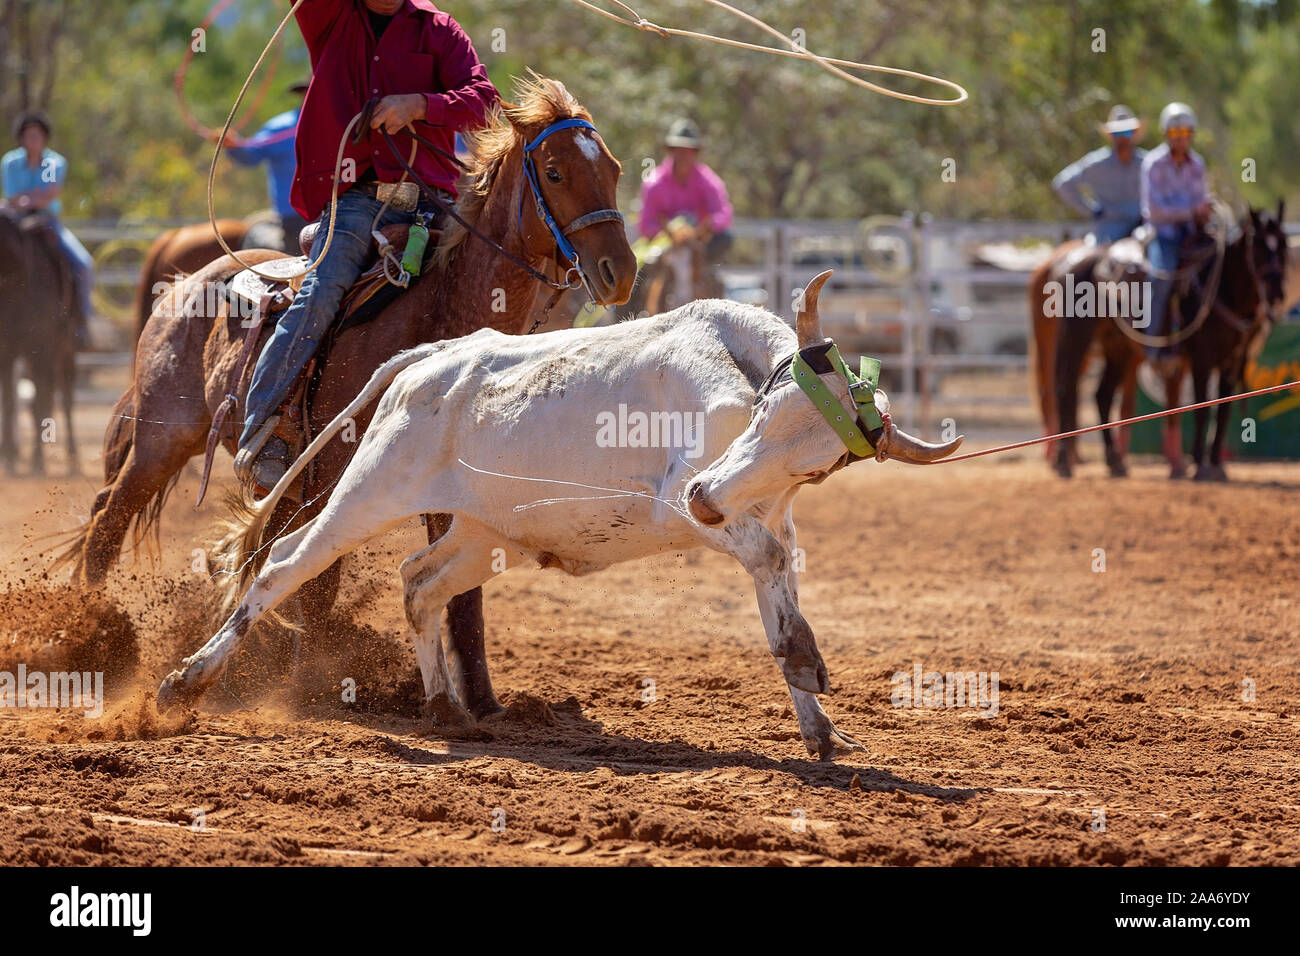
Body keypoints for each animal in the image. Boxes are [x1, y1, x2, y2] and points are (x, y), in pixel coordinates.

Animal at [158, 271, 963, 759]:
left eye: (818, 463)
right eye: (767, 409)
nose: (708, 497)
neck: (728, 363)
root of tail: (437, 357)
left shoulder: (768, 515)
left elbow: (777, 592)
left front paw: (819, 724)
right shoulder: (683, 497)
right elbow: (763, 562)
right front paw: (811, 675)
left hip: (485, 534)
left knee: (421, 582)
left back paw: (445, 708)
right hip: (371, 489)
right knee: (284, 563)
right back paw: (185, 682)